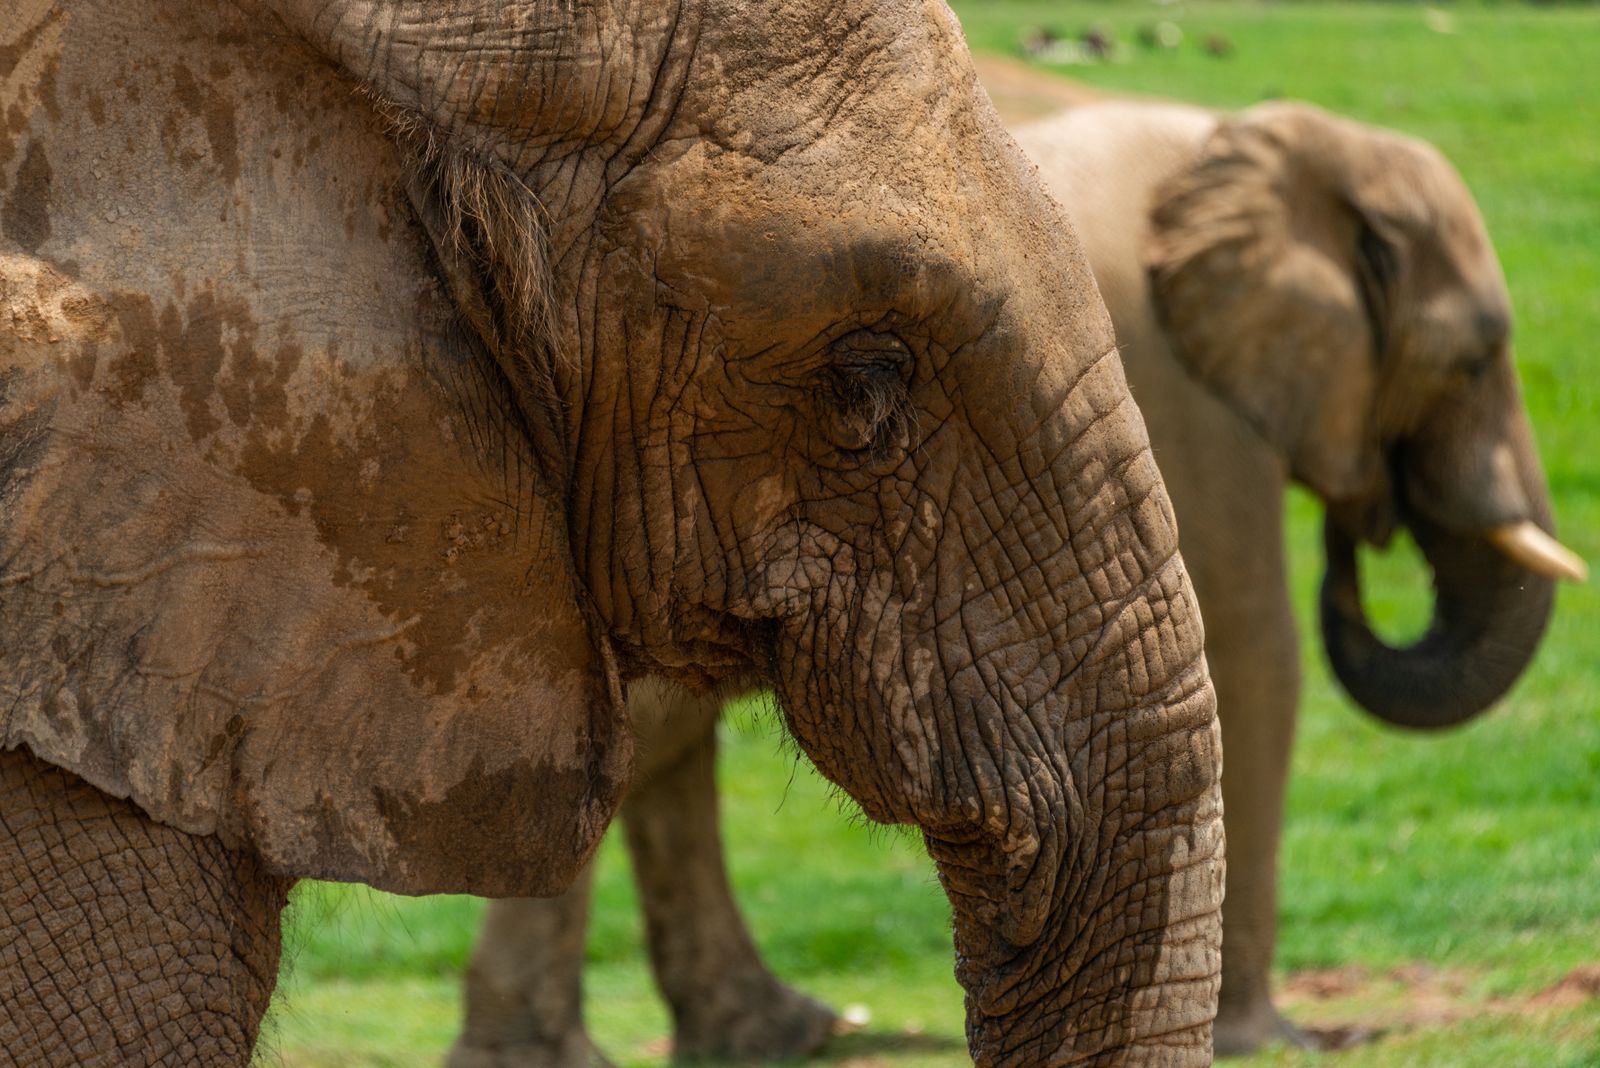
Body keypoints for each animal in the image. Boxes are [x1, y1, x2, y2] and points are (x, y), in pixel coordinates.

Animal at [450, 97, 1583, 1063]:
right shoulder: (1186, 389)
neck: (1252, 139)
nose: (1360, 534)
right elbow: (1256, 648)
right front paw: (1271, 1042)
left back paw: (767, 1035)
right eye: (1472, 360)